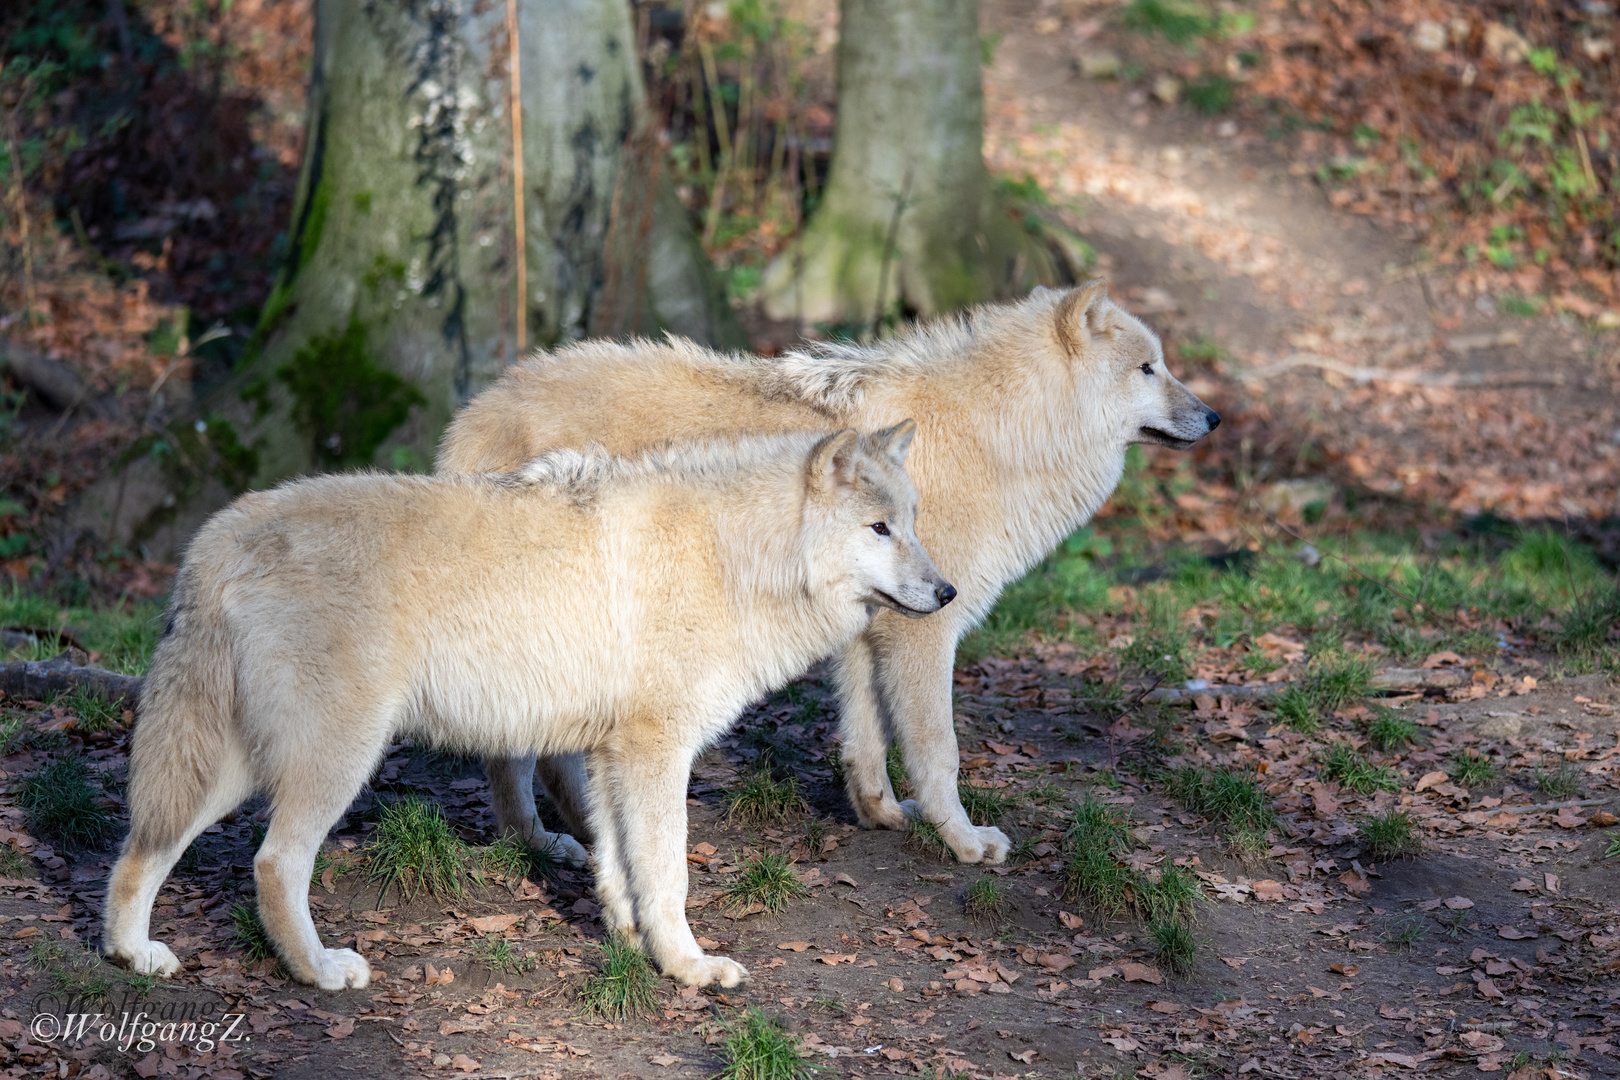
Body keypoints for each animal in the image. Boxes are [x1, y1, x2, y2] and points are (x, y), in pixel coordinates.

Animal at [103, 422, 950, 990]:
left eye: (913, 523)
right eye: (879, 529)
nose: (946, 592)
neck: (734, 555)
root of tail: (217, 537)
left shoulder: (609, 754)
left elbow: (618, 865)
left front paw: (629, 943)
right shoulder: (656, 752)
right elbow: (668, 873)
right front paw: (689, 967)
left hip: (231, 766)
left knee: (140, 851)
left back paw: (132, 954)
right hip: (337, 759)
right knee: (274, 865)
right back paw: (318, 970)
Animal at [439, 281, 1218, 865]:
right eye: (1148, 369)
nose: (1213, 416)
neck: (997, 432)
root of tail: (478, 410)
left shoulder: (871, 628)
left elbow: (866, 741)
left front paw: (882, 815)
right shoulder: (925, 629)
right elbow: (939, 752)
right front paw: (965, 842)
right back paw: (549, 842)